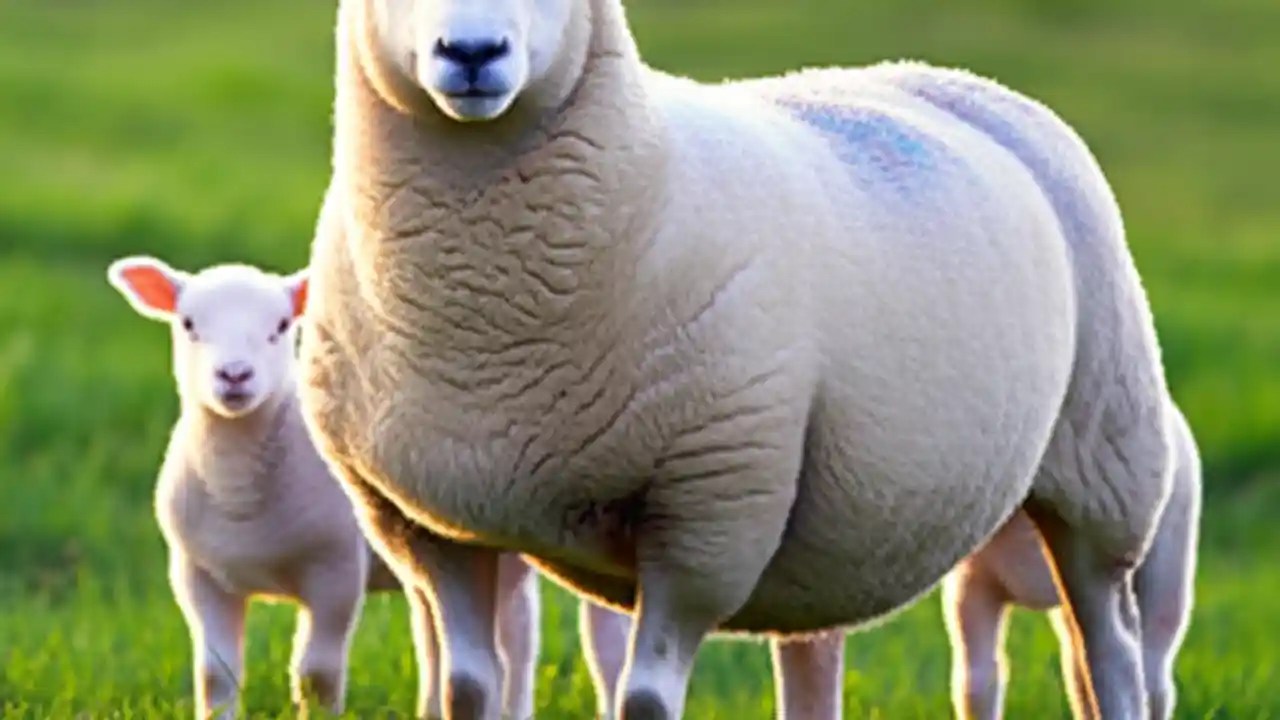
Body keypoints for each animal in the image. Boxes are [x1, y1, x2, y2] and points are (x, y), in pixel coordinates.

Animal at [105, 256, 550, 719]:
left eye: (282, 325)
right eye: (188, 323)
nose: (234, 375)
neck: (238, 492)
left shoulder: (335, 570)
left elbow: (316, 674)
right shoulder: (198, 574)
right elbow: (216, 676)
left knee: (516, 645)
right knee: (435, 638)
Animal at [296, 1, 1177, 718]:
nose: (472, 52)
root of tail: (963, 81)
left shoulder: (707, 506)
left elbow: (645, 698)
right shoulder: (418, 520)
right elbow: (468, 687)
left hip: (1105, 463)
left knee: (1107, 646)